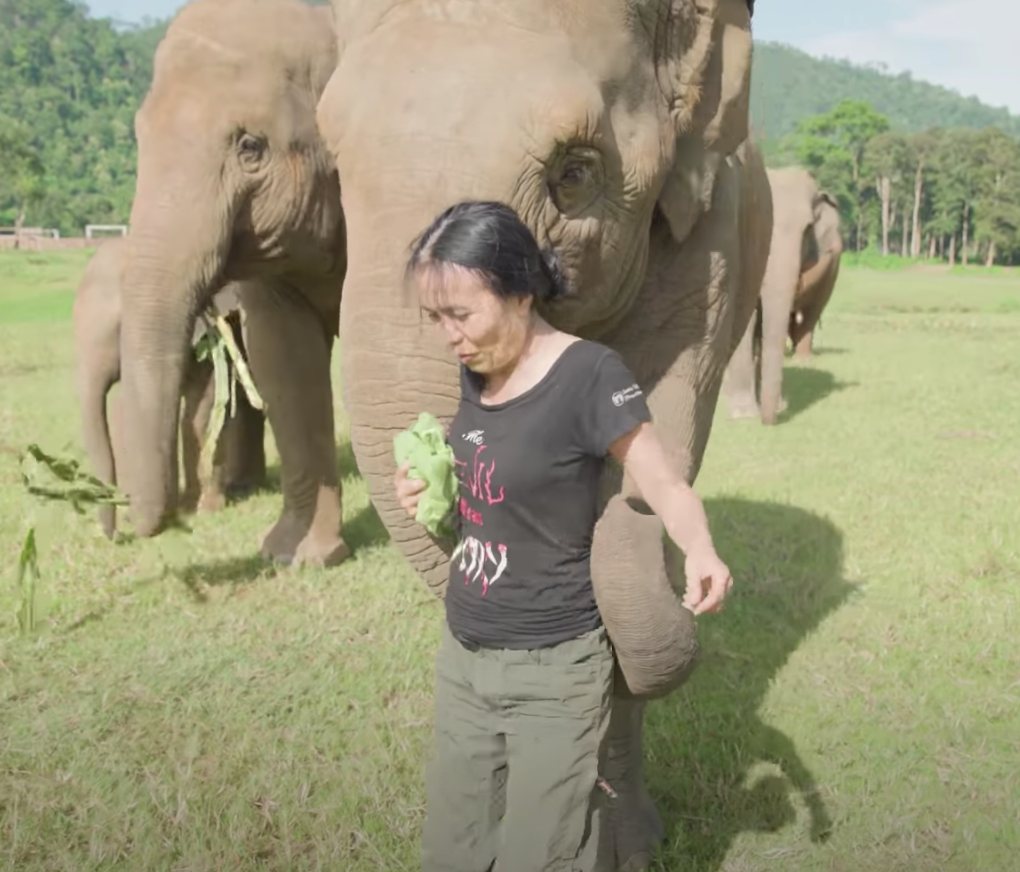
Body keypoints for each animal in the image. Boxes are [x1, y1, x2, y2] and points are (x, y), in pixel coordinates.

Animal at [72, 235, 267, 539]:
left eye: (119, 328)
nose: (117, 535)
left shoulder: (204, 326)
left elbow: (202, 404)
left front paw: (202, 510)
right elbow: (127, 413)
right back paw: (243, 485)